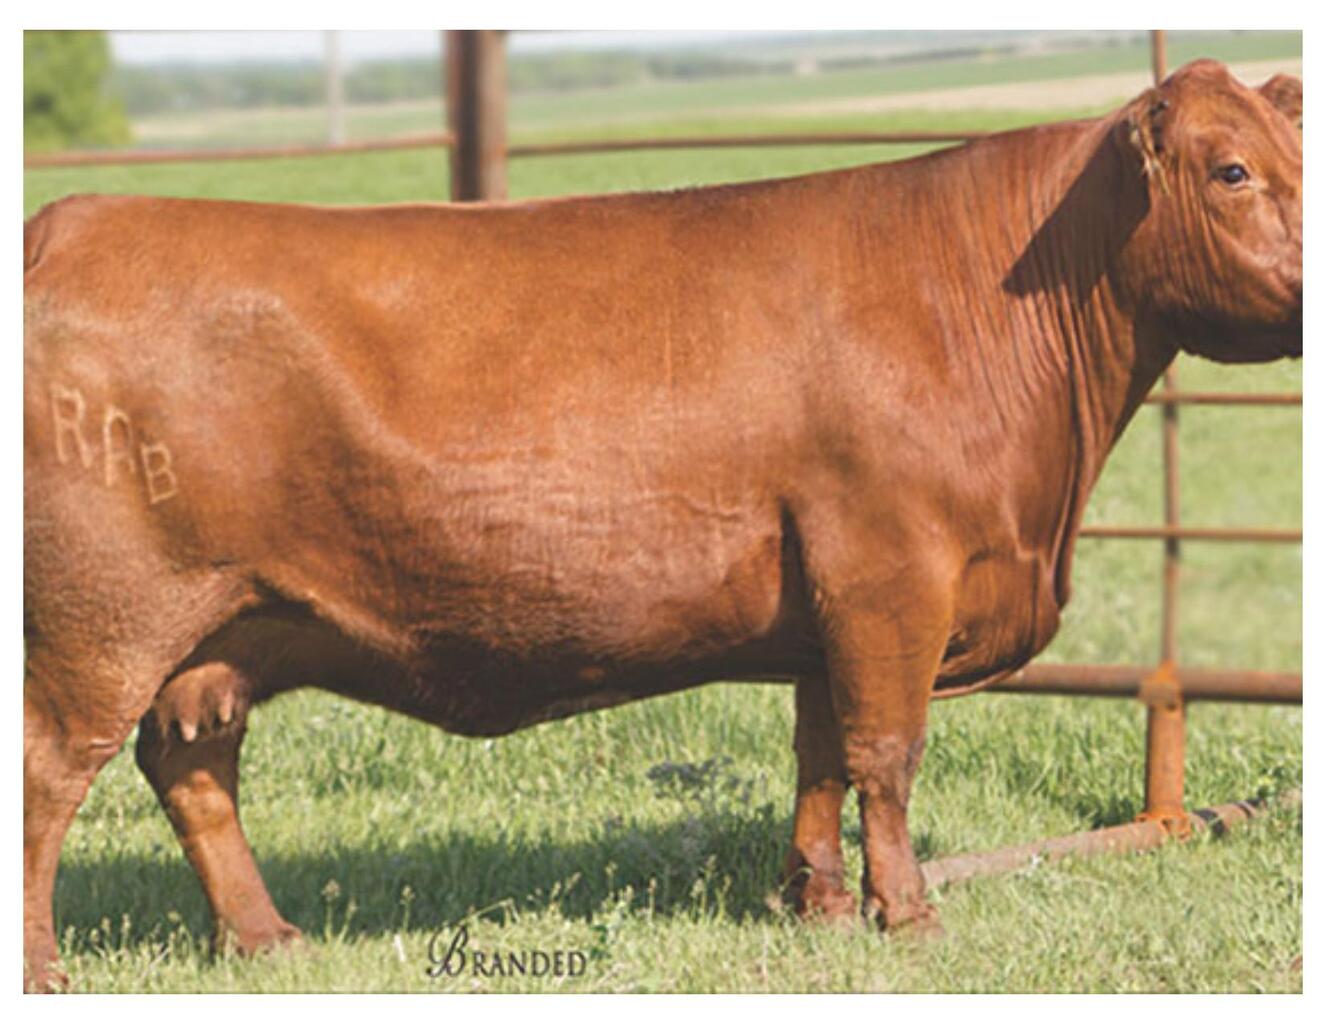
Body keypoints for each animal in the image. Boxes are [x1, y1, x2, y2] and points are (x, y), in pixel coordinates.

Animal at [23, 60, 1301, 990]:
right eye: (1232, 169)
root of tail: (66, 226)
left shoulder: (830, 595)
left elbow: (820, 751)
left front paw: (819, 906)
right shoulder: (891, 572)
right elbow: (886, 752)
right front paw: (910, 916)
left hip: (213, 631)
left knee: (192, 763)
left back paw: (265, 936)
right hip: (97, 624)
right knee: (50, 774)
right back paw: (46, 969)